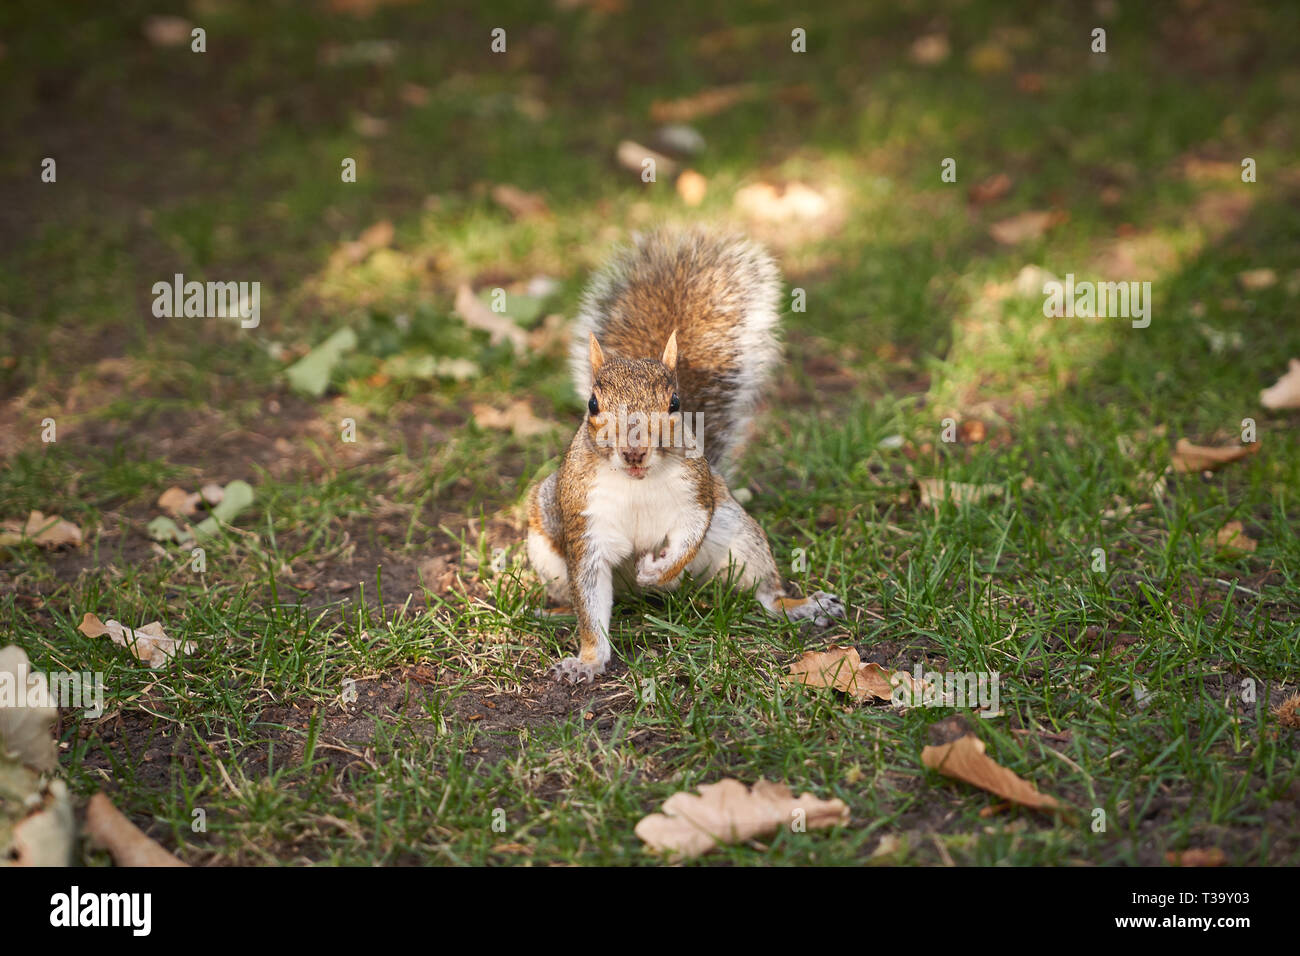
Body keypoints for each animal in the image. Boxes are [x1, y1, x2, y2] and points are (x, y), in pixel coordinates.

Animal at [526, 228, 846, 682]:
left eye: (675, 404)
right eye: (592, 405)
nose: (634, 451)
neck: (637, 482)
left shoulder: (698, 496)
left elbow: (688, 539)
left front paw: (658, 570)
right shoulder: (586, 526)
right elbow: (589, 604)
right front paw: (587, 661)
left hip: (740, 536)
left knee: (765, 592)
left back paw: (800, 605)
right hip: (546, 549)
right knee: (577, 596)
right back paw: (557, 610)